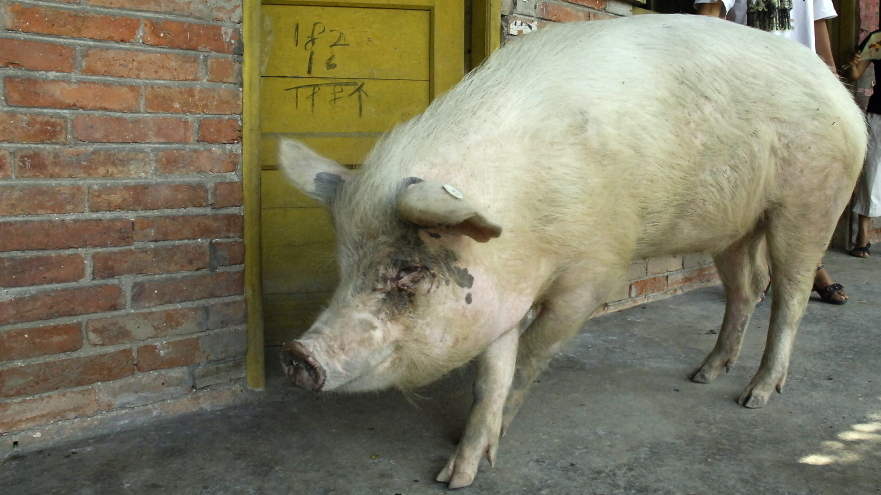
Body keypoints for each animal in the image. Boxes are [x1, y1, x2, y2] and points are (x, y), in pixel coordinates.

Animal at [277, 14, 866, 489]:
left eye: (410, 271)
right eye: (345, 268)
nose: (299, 354)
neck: (524, 221)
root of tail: (841, 94)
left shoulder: (595, 272)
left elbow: (530, 355)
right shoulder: (497, 291)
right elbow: (490, 375)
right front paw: (455, 475)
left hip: (811, 201)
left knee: (788, 295)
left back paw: (754, 396)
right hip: (737, 225)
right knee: (747, 288)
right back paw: (702, 375)